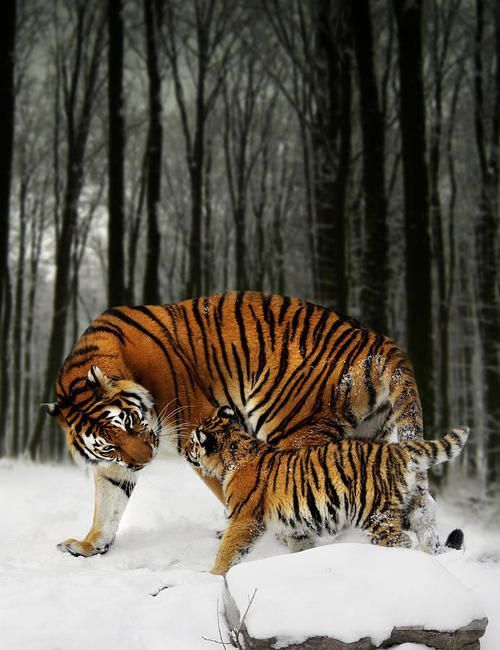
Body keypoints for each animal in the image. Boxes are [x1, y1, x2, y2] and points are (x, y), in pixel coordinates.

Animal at [46, 291, 459, 558]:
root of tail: (382, 342)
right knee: (417, 500)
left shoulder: (197, 425)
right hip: (370, 437)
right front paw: (90, 545)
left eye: (131, 421)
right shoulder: (116, 464)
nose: (144, 461)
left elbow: (230, 485)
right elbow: (108, 501)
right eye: (108, 444)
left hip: (293, 428)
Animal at [186, 407, 469, 575]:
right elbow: (302, 547)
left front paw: (213, 576)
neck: (235, 452)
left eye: (192, 442)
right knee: (430, 537)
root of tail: (396, 449)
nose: (186, 451)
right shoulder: (296, 527)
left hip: (374, 515)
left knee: (401, 542)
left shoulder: (245, 519)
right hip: (414, 510)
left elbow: (228, 550)